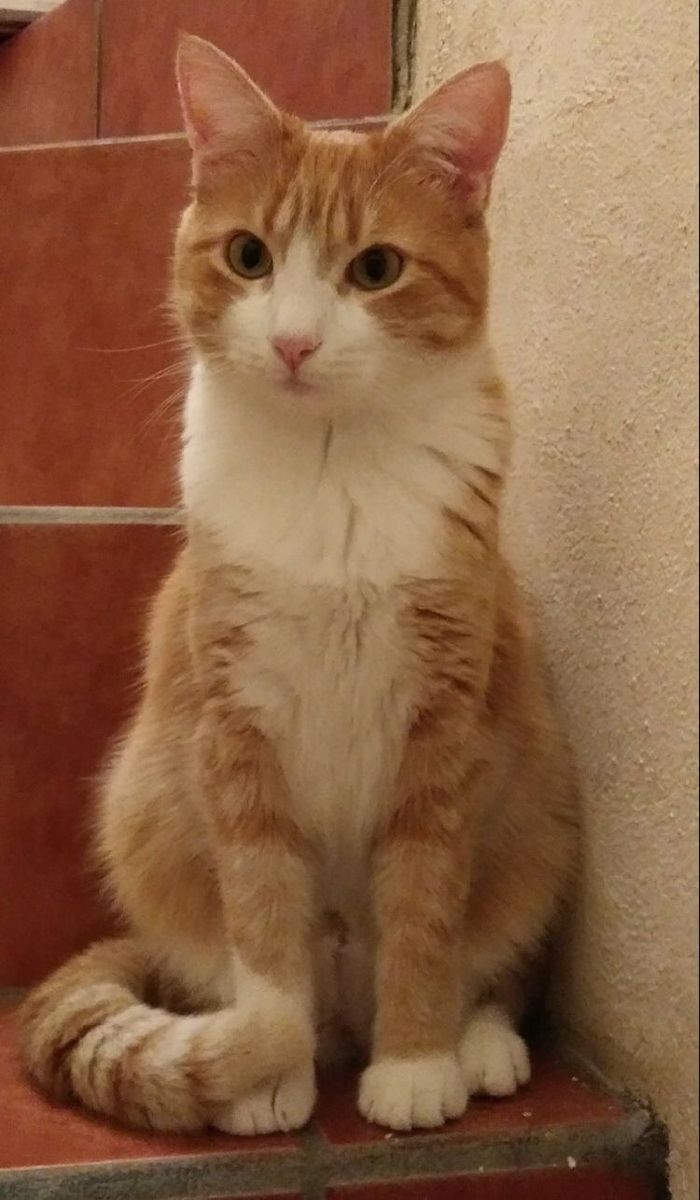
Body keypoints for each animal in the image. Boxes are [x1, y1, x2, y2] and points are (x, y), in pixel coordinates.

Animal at [21, 35, 581, 1132]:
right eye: (249, 257)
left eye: (377, 269)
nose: (291, 342)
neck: (332, 474)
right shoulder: (235, 727)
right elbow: (262, 910)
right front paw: (263, 1066)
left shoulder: (443, 727)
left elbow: (424, 913)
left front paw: (416, 1063)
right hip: (147, 811)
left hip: (537, 805)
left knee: (494, 965)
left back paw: (478, 1044)